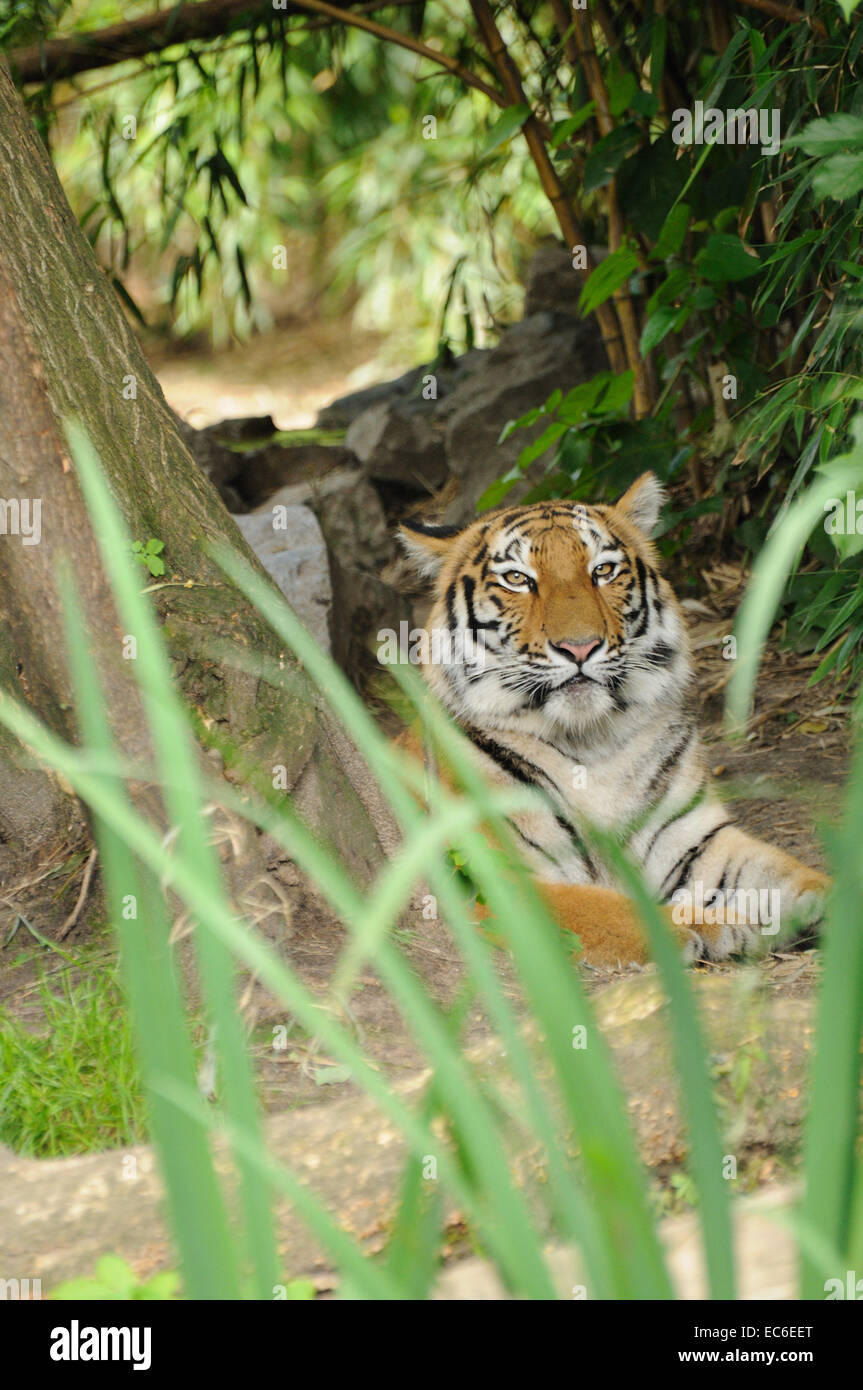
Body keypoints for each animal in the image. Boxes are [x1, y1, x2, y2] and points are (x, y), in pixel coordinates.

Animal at [397, 471, 830, 967]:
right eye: (517, 579)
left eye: (602, 571)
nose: (580, 647)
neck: (593, 744)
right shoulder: (491, 878)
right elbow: (602, 906)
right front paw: (709, 927)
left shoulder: (695, 840)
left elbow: (786, 874)